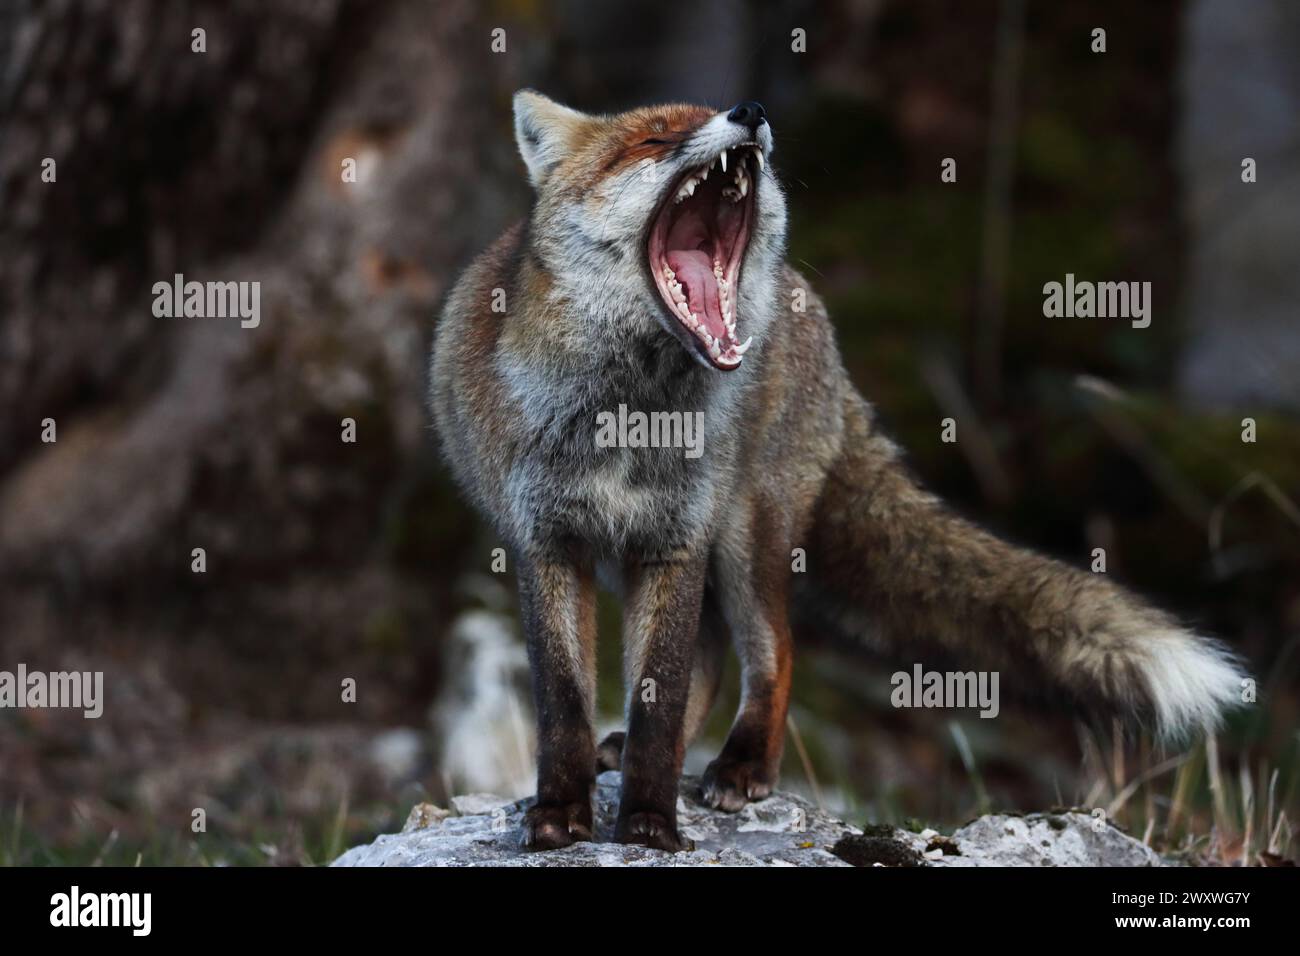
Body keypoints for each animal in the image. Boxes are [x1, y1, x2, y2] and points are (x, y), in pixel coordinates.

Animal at [429, 91, 1247, 852]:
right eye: (653, 141)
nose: (751, 110)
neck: (631, 419)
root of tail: (810, 307)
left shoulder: (676, 540)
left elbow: (661, 701)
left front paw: (650, 824)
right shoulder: (550, 546)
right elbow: (563, 706)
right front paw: (559, 814)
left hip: (744, 537)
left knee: (769, 653)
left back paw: (743, 766)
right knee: (712, 660)